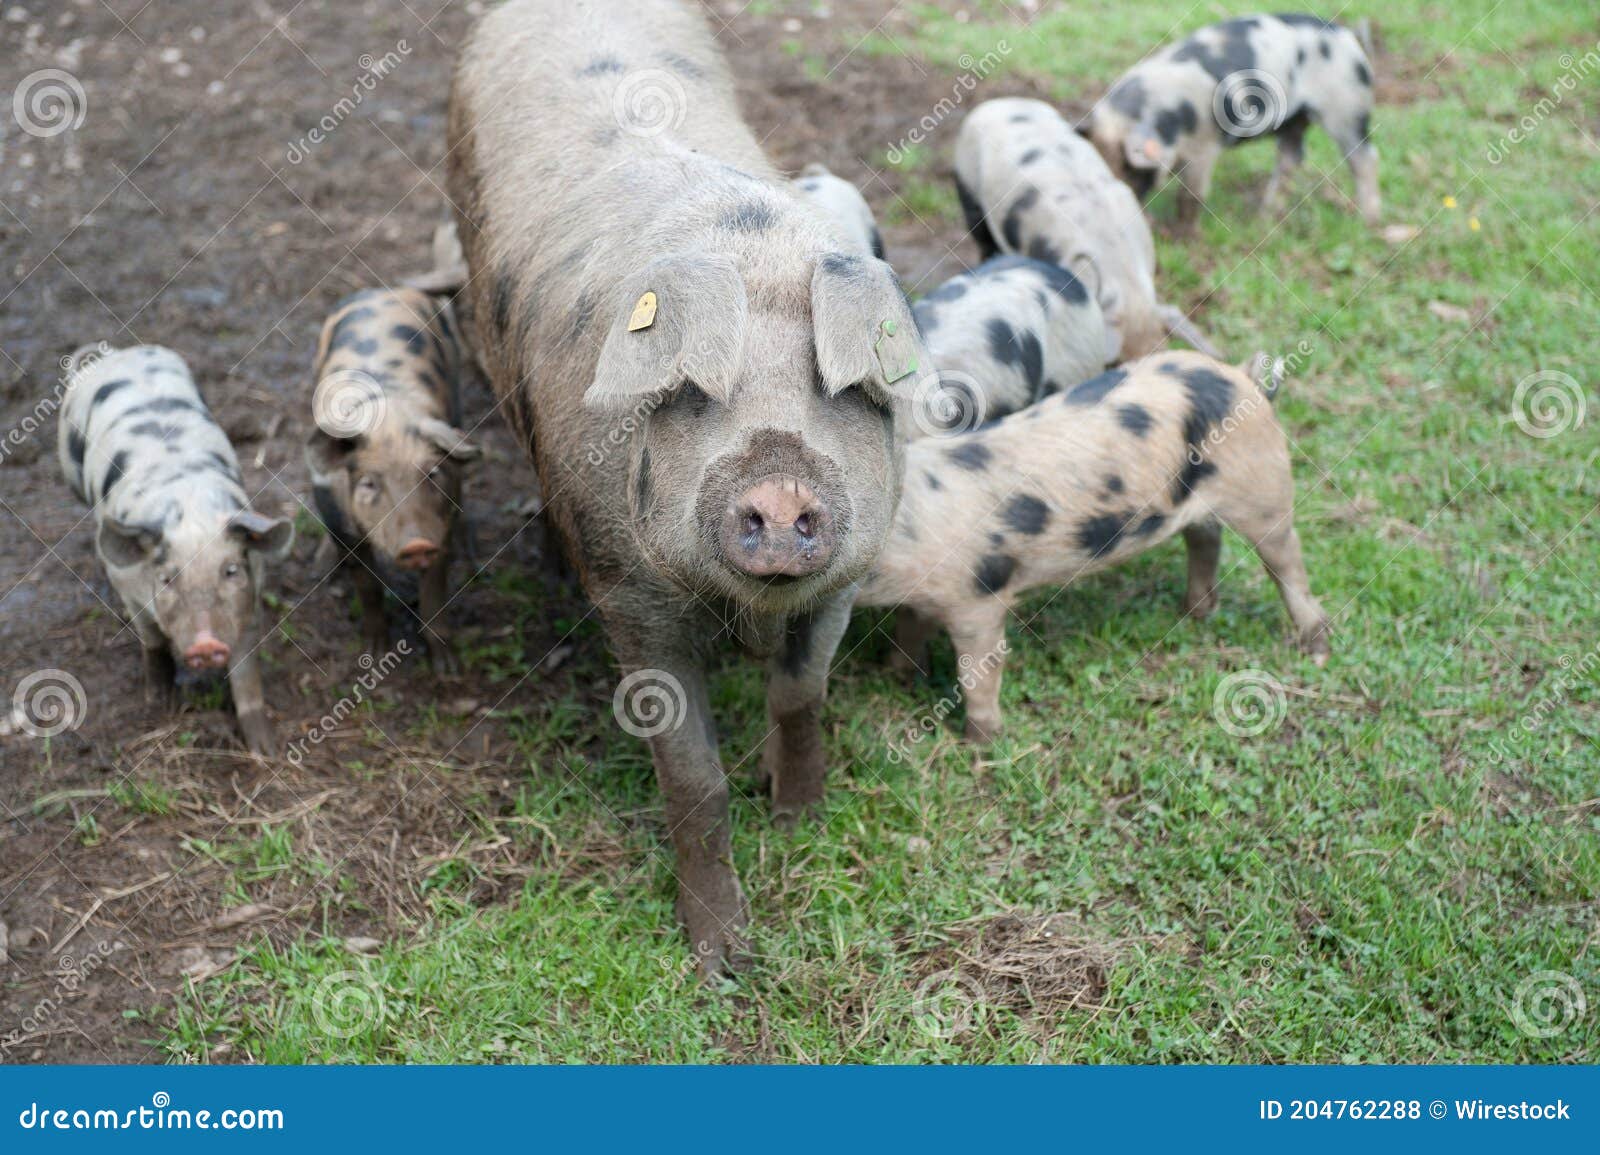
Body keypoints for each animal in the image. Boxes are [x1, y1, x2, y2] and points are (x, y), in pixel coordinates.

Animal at [56, 345, 294, 754]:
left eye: (230, 570)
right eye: (167, 578)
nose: (205, 643)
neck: (190, 508)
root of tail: (117, 353)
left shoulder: (251, 594)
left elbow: (246, 670)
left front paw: (265, 751)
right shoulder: (129, 587)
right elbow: (152, 641)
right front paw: (157, 704)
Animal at [305, 288, 480, 673]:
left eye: (431, 474)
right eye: (369, 483)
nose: (416, 543)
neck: (390, 424)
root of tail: (383, 291)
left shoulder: (441, 522)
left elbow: (435, 589)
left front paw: (447, 670)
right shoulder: (339, 521)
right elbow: (367, 585)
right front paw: (374, 654)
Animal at [448, 0, 929, 975]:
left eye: (840, 388)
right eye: (697, 392)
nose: (778, 483)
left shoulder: (844, 578)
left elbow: (801, 695)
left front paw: (800, 819)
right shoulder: (632, 596)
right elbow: (694, 778)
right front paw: (722, 963)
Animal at [856, 350, 1330, 743]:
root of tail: (1242, 377)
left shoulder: (980, 595)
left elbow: (979, 670)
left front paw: (980, 742)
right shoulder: (922, 597)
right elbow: (909, 629)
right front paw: (894, 674)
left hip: (1263, 485)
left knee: (1286, 559)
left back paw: (1316, 647)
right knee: (1204, 537)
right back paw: (1195, 612)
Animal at [1083, 14, 1380, 228]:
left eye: (1127, 167)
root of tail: (1348, 37)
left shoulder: (1204, 146)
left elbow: (1191, 196)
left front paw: (1183, 236)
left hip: (1348, 109)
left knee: (1365, 159)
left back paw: (1366, 223)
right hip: (1295, 119)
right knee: (1291, 156)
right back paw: (1264, 217)